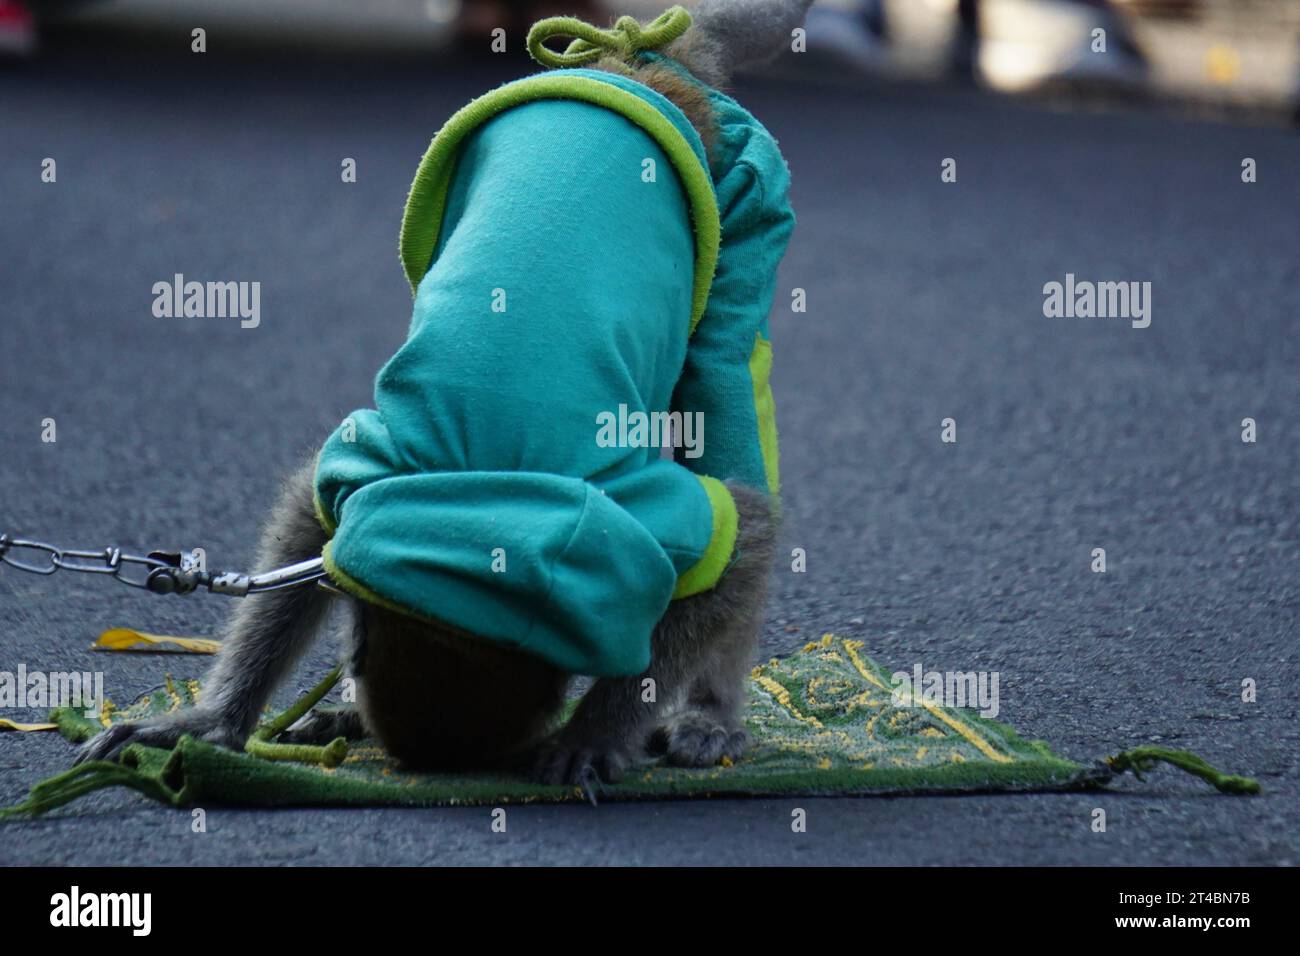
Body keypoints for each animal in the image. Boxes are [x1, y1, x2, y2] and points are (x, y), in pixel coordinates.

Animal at [80, 0, 811, 785]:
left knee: (728, 397)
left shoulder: (634, 514)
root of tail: (644, 55)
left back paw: (712, 715)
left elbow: (744, 535)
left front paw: (597, 730)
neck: (484, 490)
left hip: (747, 199)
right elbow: (309, 507)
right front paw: (219, 721)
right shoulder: (379, 477)